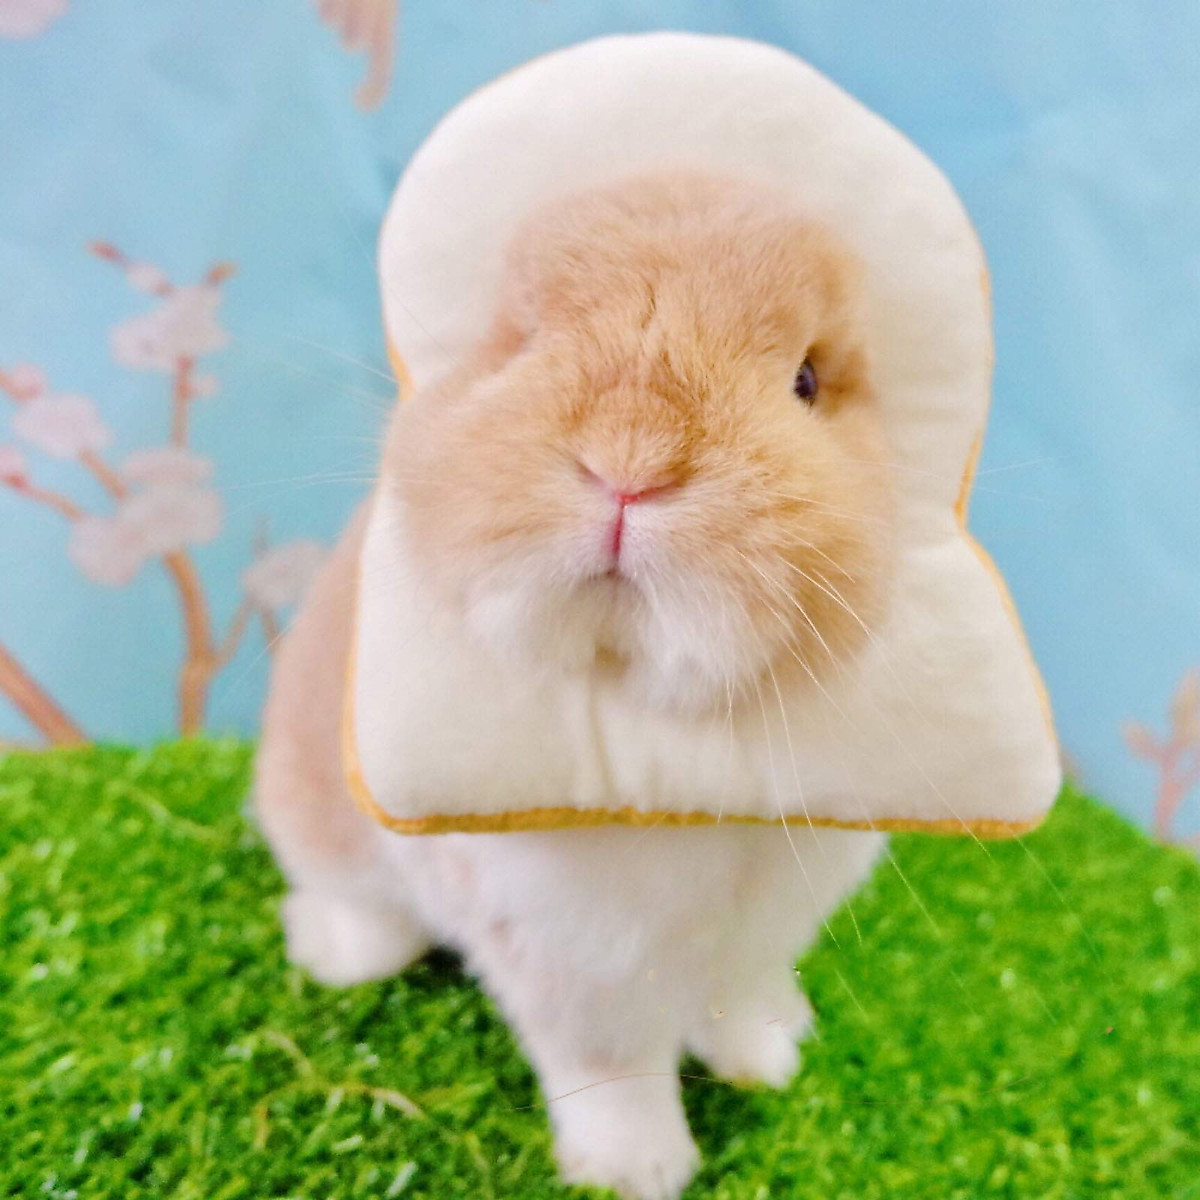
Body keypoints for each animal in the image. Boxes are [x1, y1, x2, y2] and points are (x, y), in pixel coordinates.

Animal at [256, 171, 895, 1199]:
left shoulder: (765, 930)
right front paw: (640, 1172)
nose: (631, 461)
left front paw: (767, 1062)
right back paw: (330, 949)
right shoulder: (575, 967)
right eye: (522, 346)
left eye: (806, 381)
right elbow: (613, 1073)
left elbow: (740, 997)